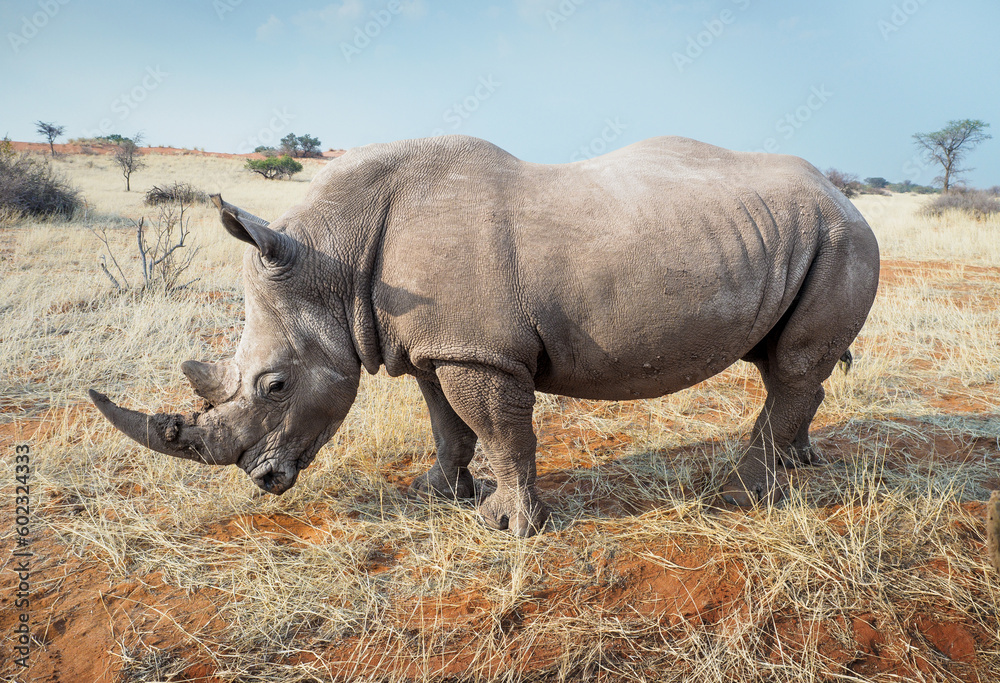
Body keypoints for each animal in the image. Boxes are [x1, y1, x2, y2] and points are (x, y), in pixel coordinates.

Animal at [90, 135, 880, 537]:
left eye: (276, 385)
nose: (262, 480)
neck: (331, 258)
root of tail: (842, 193)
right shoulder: (437, 344)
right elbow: (448, 424)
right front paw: (438, 493)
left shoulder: (480, 352)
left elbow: (501, 430)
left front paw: (509, 528)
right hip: (801, 235)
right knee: (787, 366)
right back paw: (797, 465)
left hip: (842, 238)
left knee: (792, 366)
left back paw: (741, 496)